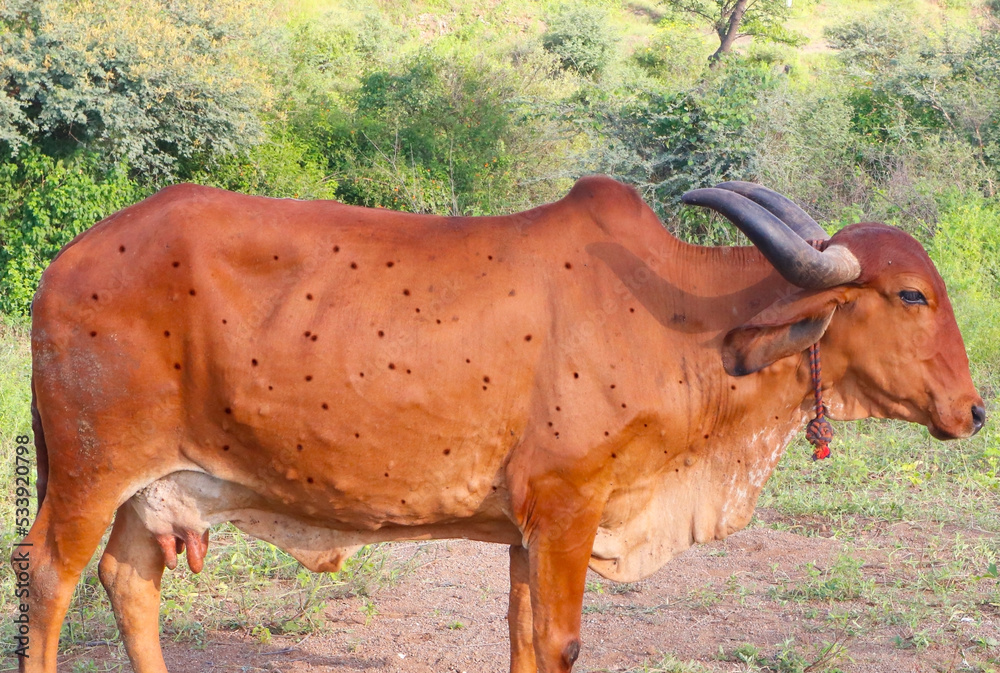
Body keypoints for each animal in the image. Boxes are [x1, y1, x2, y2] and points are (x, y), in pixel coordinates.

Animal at [17, 175, 984, 673]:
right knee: (50, 577)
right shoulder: (567, 506)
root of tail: (65, 261)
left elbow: (522, 636)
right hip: (91, 470)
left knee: (130, 583)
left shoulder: (529, 526)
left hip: (150, 488)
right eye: (910, 295)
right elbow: (559, 641)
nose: (974, 409)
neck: (687, 325)